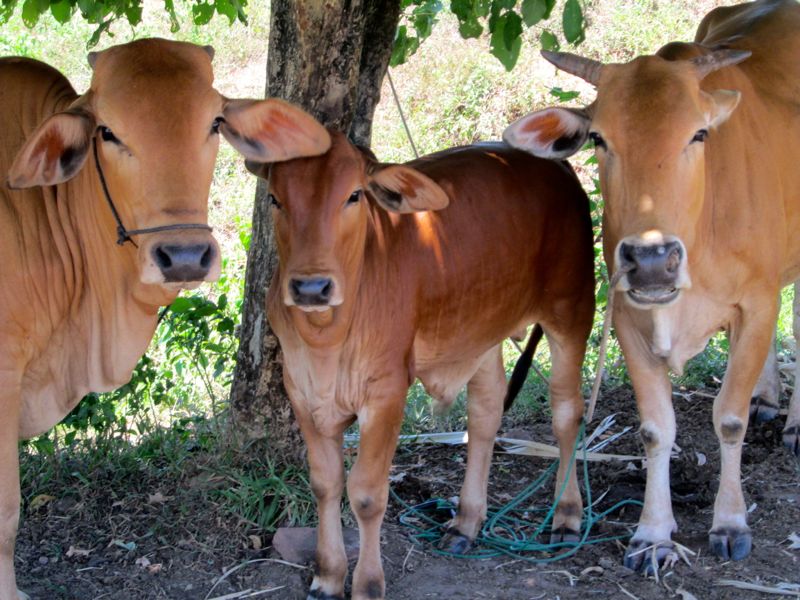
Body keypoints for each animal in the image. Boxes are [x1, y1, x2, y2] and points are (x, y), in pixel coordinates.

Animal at [245, 130, 595, 599]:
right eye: (275, 199)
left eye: (354, 195)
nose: (312, 287)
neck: (327, 337)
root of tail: (555, 163)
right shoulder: (301, 391)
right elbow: (325, 484)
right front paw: (328, 575)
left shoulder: (386, 393)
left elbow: (366, 494)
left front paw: (367, 584)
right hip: (479, 331)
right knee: (485, 416)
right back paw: (466, 522)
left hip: (571, 309)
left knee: (566, 414)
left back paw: (568, 515)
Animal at [503, 0, 800, 575]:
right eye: (599, 139)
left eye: (699, 135)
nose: (653, 262)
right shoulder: (628, 317)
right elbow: (655, 429)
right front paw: (653, 533)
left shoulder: (756, 303)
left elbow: (729, 419)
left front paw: (730, 522)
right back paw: (769, 398)